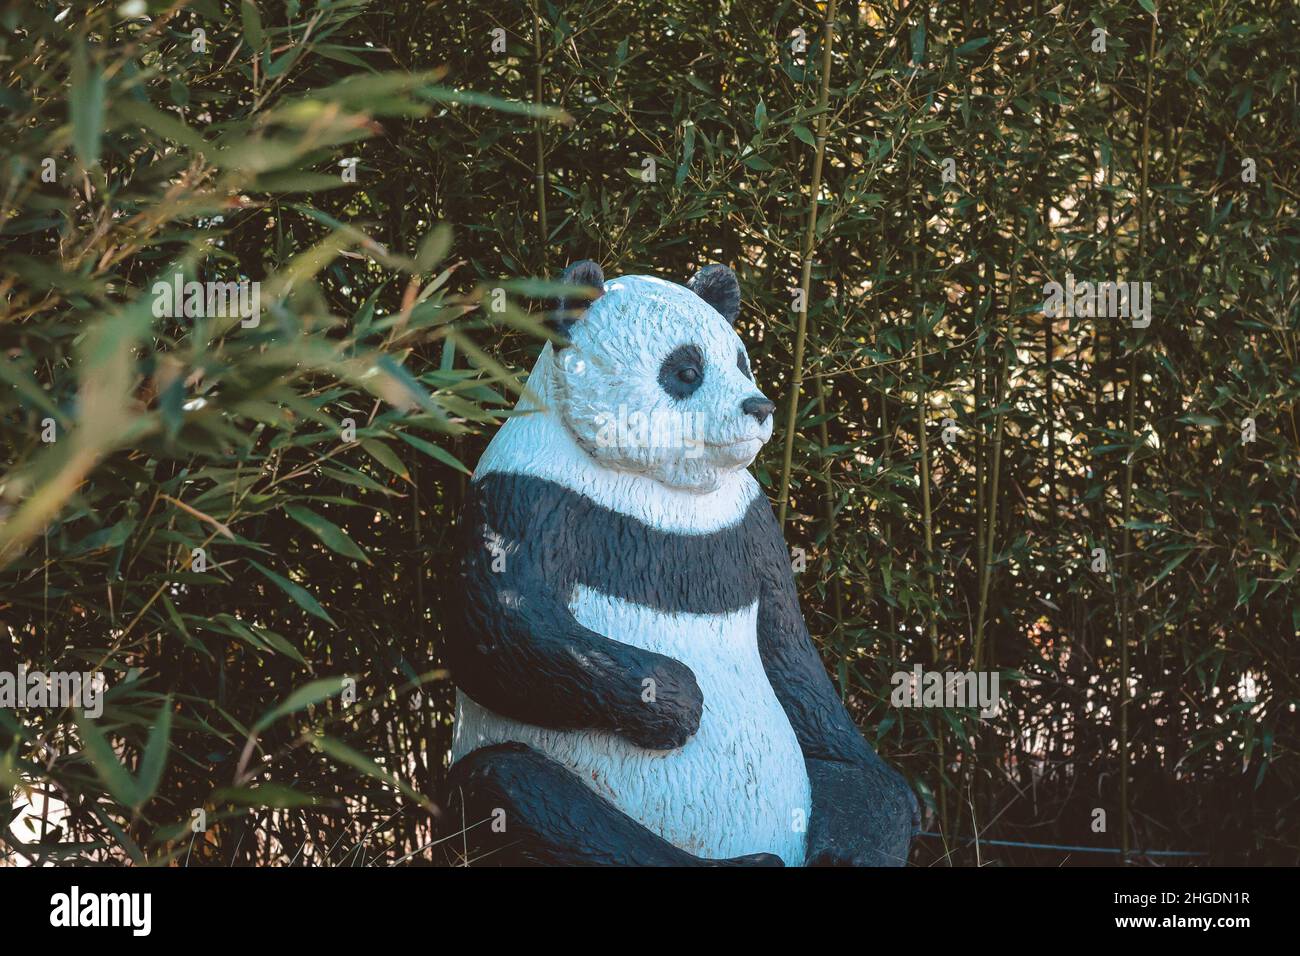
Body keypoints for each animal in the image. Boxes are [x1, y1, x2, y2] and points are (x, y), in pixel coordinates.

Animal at [443, 260, 917, 866]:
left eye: (740, 360)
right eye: (686, 370)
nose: (759, 407)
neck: (664, 489)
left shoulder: (749, 522)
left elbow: (790, 649)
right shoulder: (525, 495)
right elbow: (492, 635)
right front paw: (674, 702)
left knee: (849, 780)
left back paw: (859, 834)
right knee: (525, 799)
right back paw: (748, 861)